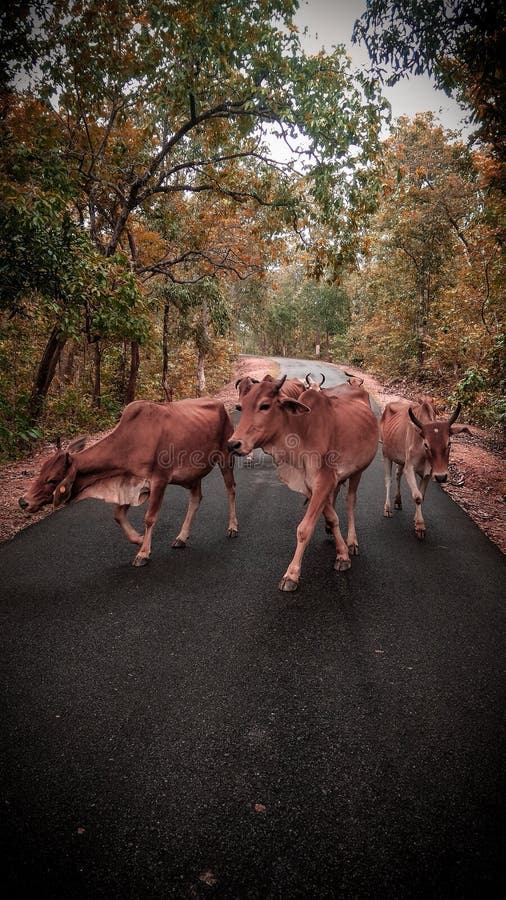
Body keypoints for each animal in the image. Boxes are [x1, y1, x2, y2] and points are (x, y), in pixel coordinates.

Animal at [19, 398, 238, 566]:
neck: (129, 443)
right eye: (40, 472)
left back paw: (232, 527)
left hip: (226, 457)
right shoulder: (131, 484)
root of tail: (219, 405)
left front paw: (143, 553)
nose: (23, 501)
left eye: (52, 479)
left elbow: (150, 517)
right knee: (195, 498)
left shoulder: (160, 480)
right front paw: (139, 540)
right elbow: (118, 515)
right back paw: (181, 537)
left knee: (231, 489)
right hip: (192, 475)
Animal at [228, 374, 379, 591]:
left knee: (350, 502)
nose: (233, 444)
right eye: (241, 407)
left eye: (265, 405)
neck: (301, 434)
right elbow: (332, 518)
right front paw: (341, 554)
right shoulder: (311, 486)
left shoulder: (323, 481)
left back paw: (352, 541)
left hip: (358, 470)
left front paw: (291, 575)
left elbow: (304, 529)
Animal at [380, 396, 470, 539]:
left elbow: (421, 497)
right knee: (388, 480)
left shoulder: (428, 473)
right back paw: (387, 508)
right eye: (426, 444)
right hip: (386, 454)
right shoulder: (410, 468)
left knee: (398, 475)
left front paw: (417, 521)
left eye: (449, 443)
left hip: (400, 459)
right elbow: (417, 496)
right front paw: (420, 526)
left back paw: (398, 501)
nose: (442, 477)